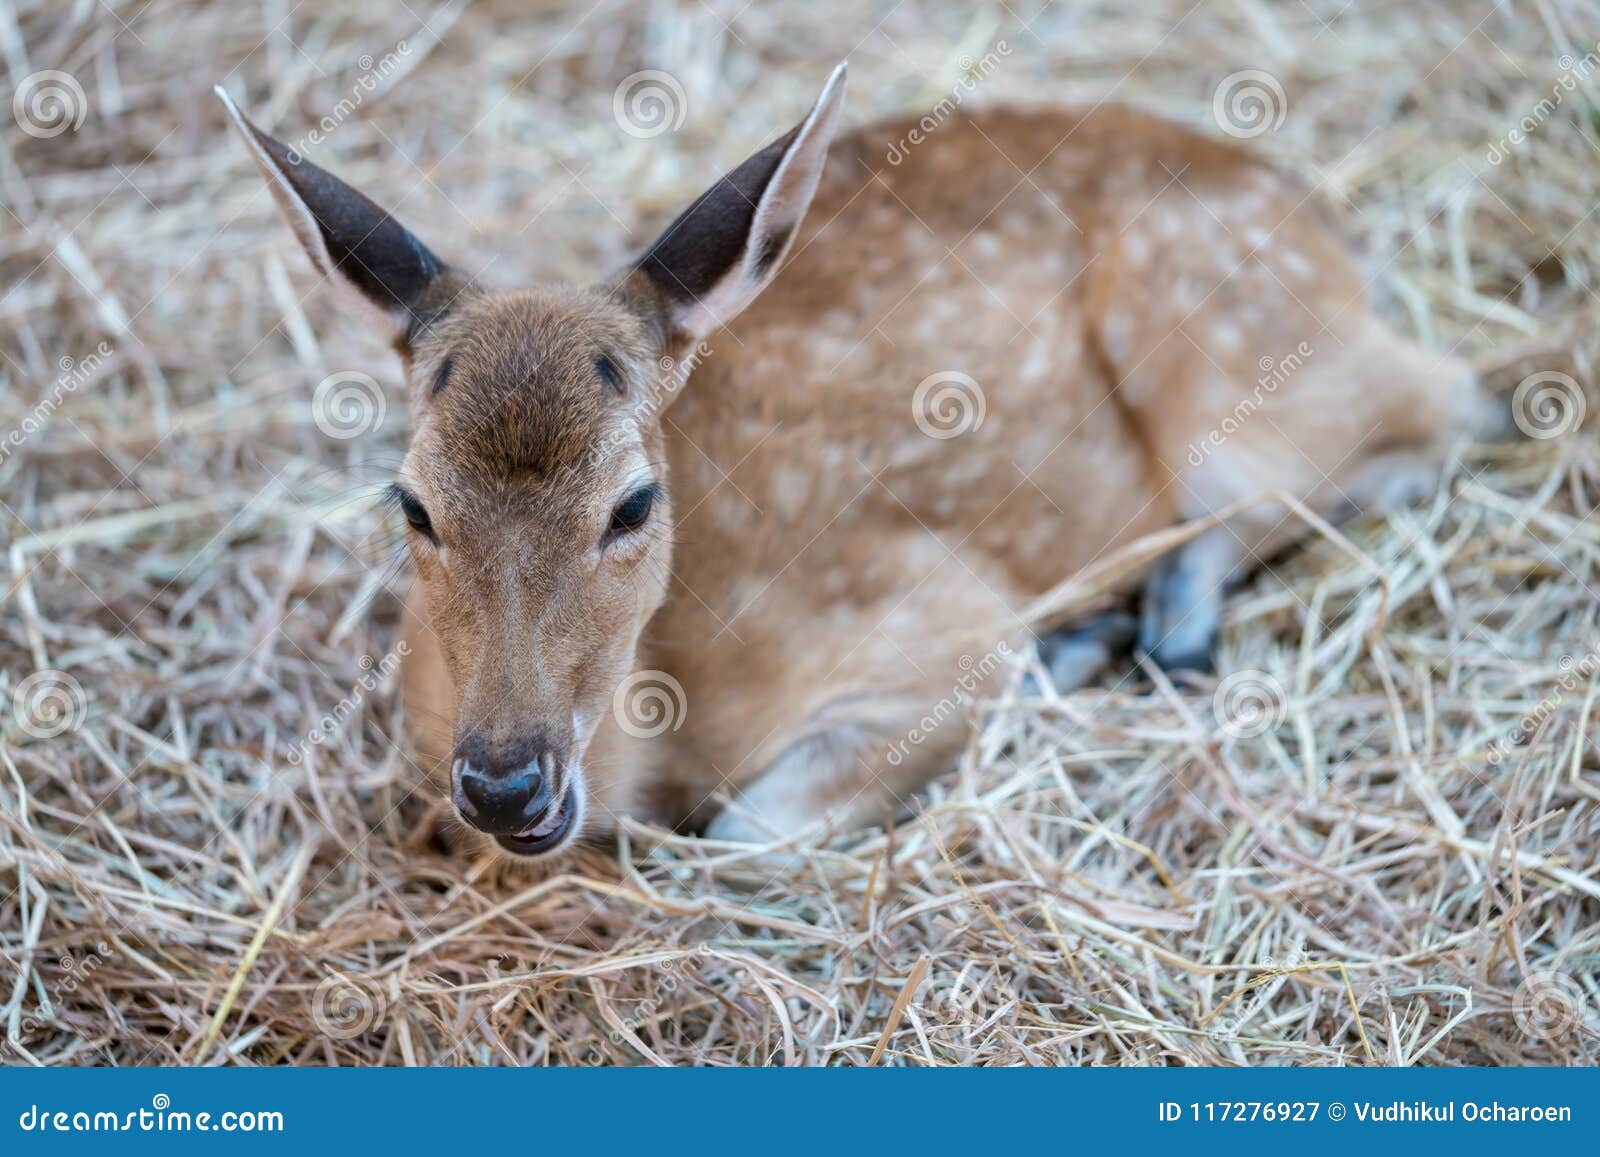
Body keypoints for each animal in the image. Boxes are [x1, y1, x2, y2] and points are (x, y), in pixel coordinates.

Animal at [218, 62, 1484, 859]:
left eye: (633, 502)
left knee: (1444, 412)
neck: (661, 732)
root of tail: (1319, 220)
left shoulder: (928, 616)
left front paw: (1057, 654)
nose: (503, 780)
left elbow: (738, 838)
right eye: (413, 503)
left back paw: (1138, 630)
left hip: (1239, 363)